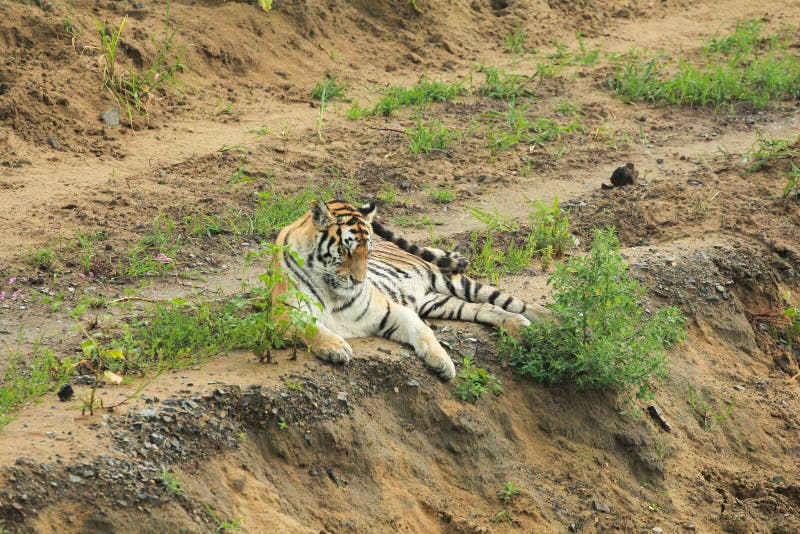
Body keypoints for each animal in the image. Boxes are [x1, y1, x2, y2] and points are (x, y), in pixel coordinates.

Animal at [273, 199, 548, 380]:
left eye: (367, 251)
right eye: (345, 249)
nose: (359, 281)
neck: (332, 291)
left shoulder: (390, 310)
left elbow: (424, 331)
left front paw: (443, 363)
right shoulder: (281, 312)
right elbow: (309, 326)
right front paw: (336, 347)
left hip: (453, 282)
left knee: (509, 300)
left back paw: (545, 320)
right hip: (439, 303)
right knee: (485, 307)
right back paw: (521, 326)